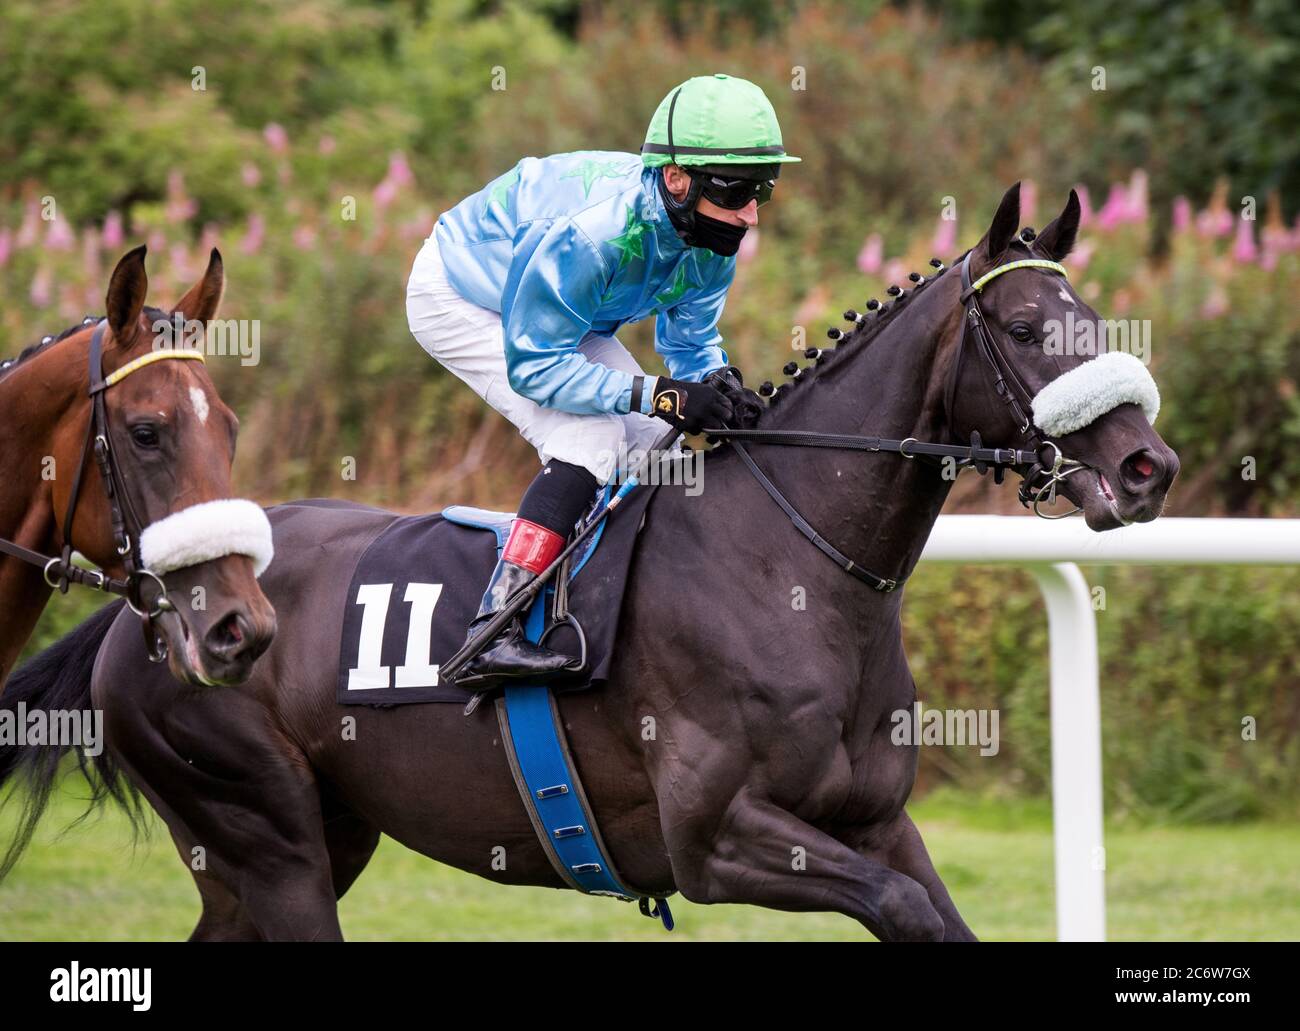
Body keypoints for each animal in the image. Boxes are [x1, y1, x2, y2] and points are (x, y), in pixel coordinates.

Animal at [1, 185, 1177, 939]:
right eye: (1024, 326)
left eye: (1088, 315)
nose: (1147, 466)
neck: (794, 572)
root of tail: (145, 610)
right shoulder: (716, 840)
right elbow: (897, 909)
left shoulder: (877, 823)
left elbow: (934, 912)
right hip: (269, 836)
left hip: (305, 844)